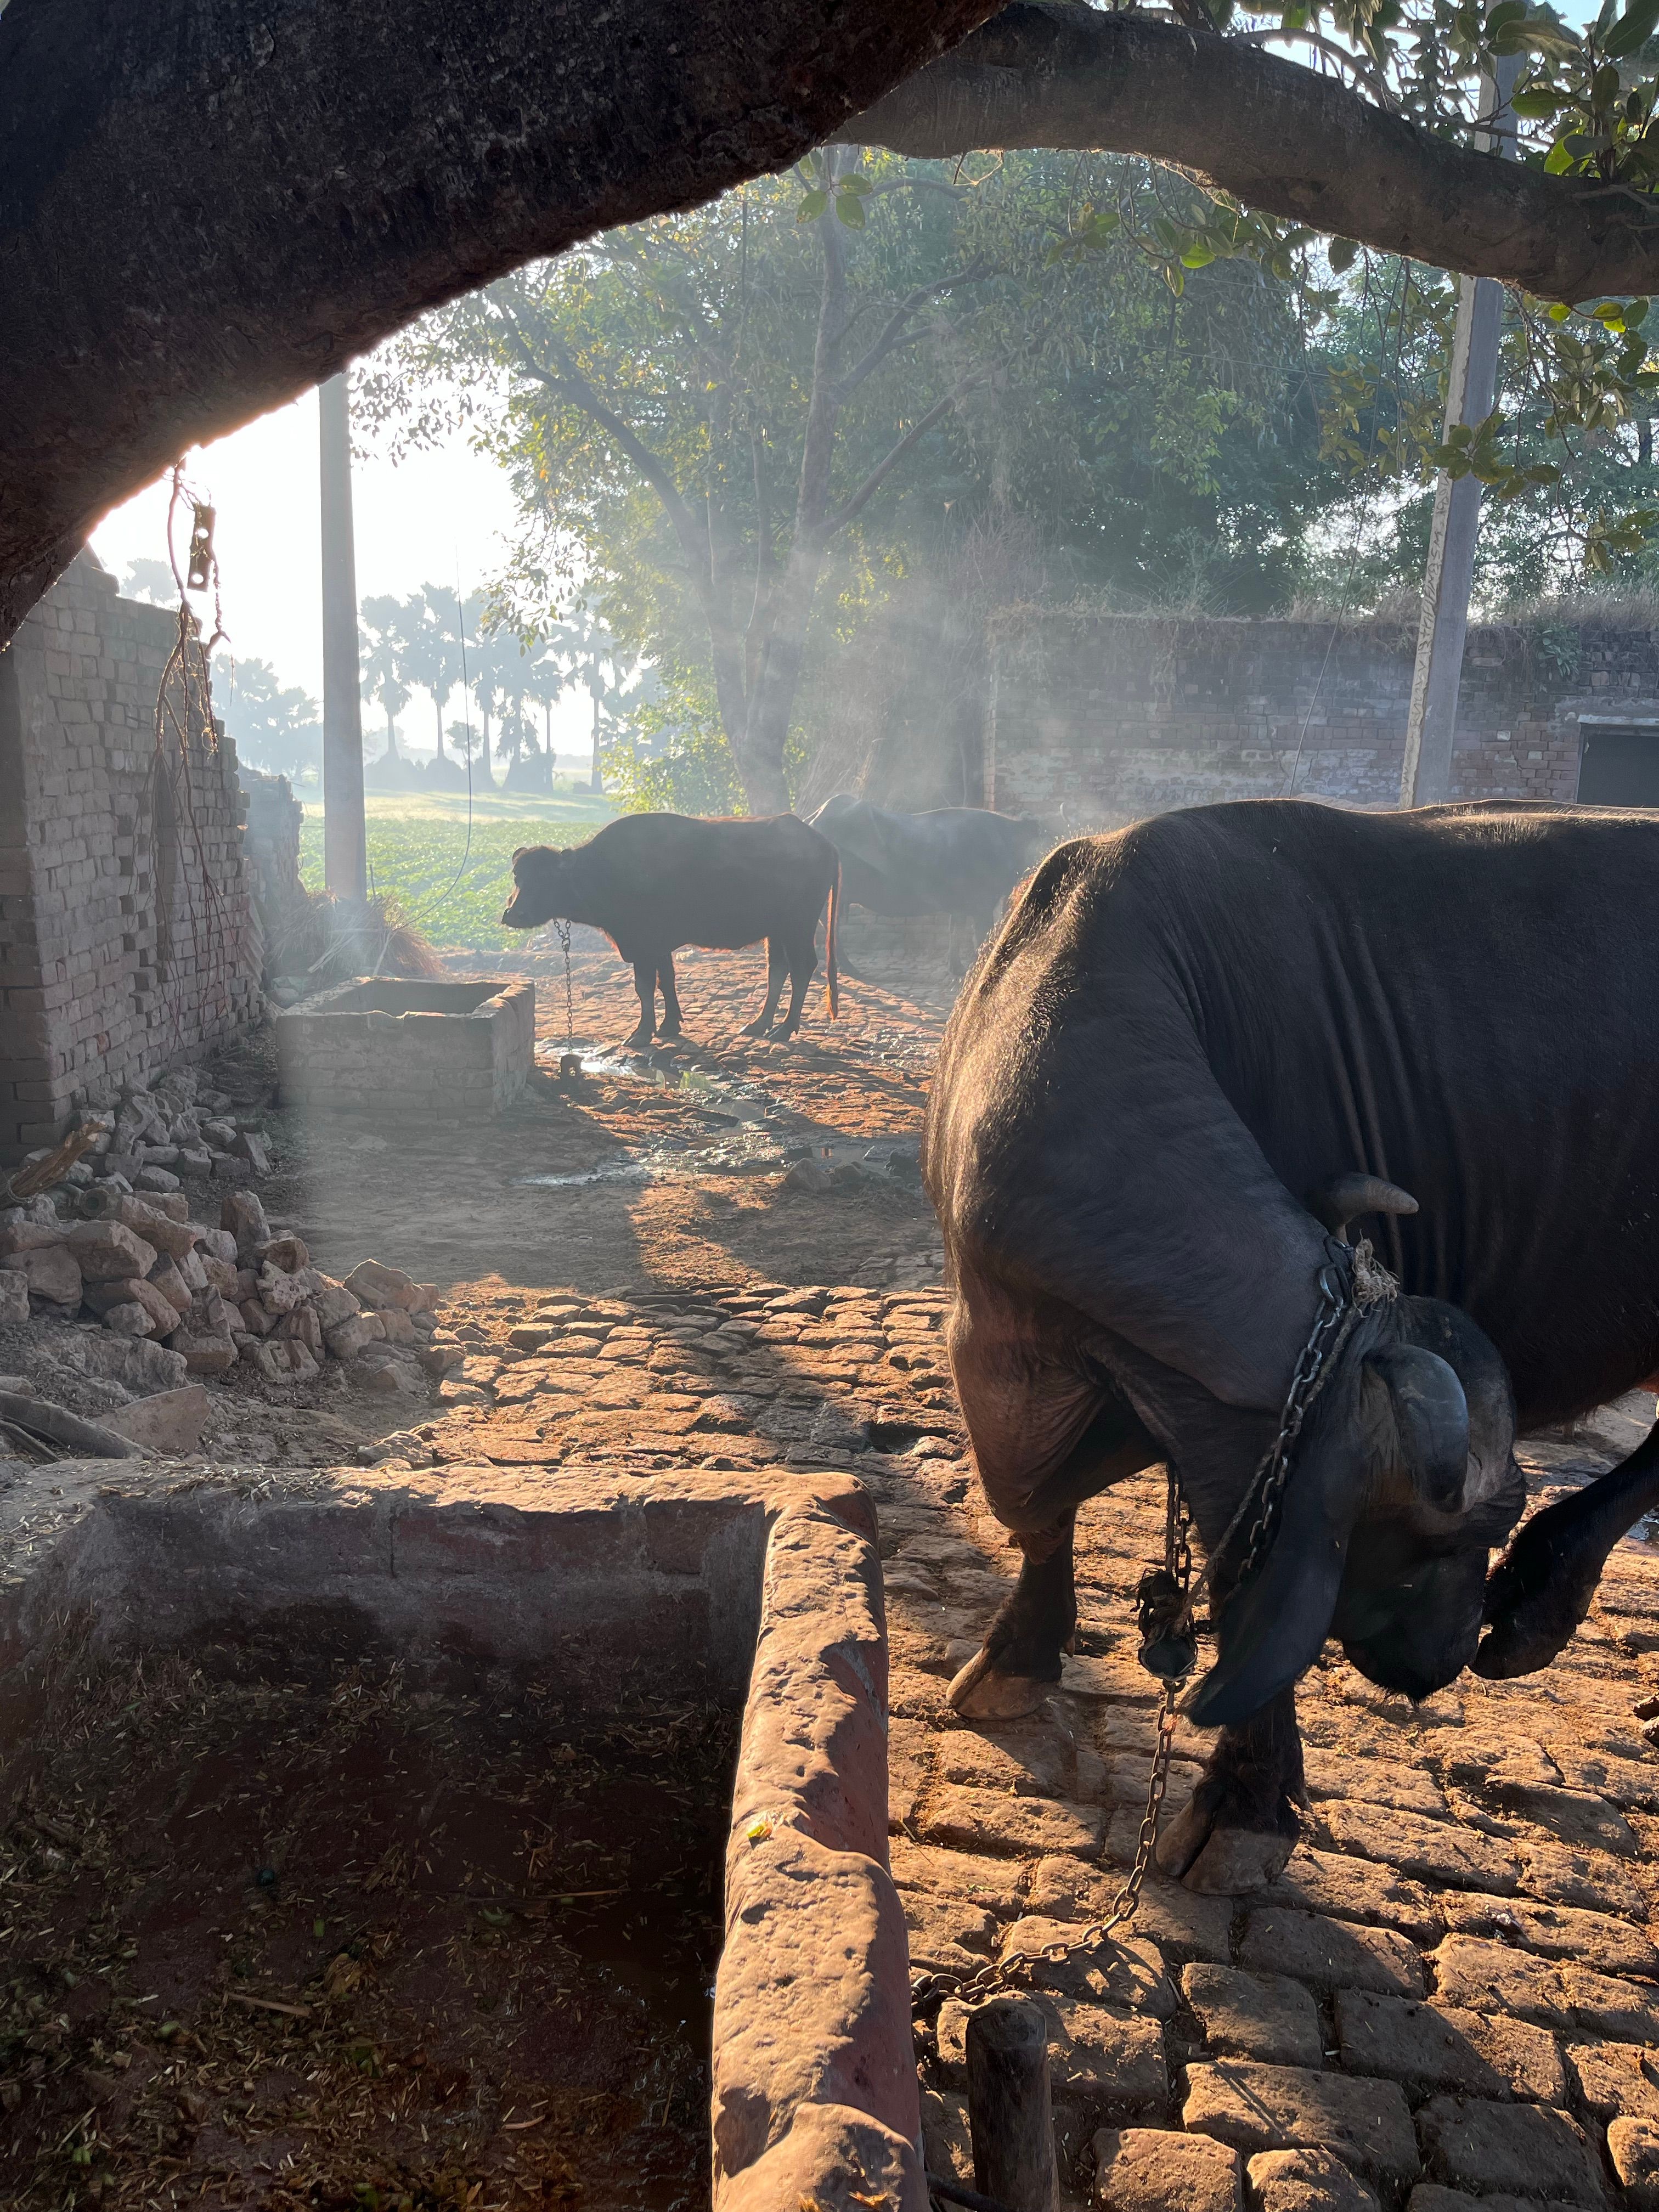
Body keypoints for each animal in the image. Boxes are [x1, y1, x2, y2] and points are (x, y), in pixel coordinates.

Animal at [501, 812, 839, 1049]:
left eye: (546, 879)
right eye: (518, 877)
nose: (513, 914)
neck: (604, 872)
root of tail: (823, 843)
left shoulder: (643, 944)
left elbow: (644, 987)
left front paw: (641, 1034)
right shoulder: (659, 946)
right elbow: (667, 981)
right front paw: (669, 1026)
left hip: (798, 925)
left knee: (802, 967)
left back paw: (784, 1029)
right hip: (777, 929)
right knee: (778, 969)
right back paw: (759, 1024)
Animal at [808, 795, 1051, 975]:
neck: (1003, 841)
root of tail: (815, 819)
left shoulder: (960, 906)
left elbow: (955, 931)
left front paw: (956, 968)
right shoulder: (982, 906)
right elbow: (981, 938)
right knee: (830, 929)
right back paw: (846, 968)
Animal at [924, 797, 1659, 1895]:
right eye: (1433, 1542)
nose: (1444, 1659)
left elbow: (1235, 1583)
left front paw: (1241, 1801)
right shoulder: (1018, 1359)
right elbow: (1037, 1509)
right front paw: (1017, 1652)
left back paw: (1537, 1608)